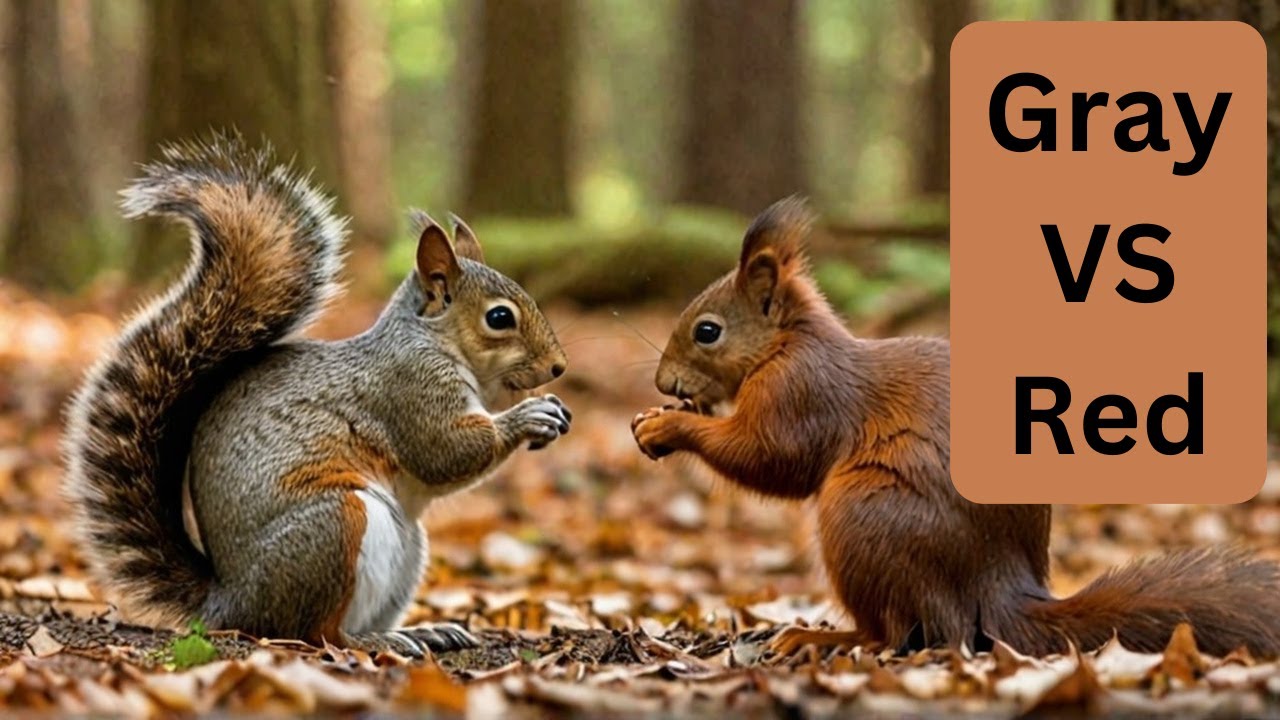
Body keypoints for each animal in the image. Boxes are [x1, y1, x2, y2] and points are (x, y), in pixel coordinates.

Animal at [63, 136, 572, 657]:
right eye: (499, 318)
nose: (559, 367)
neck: (433, 341)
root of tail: (229, 603)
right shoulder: (408, 388)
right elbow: (444, 452)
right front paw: (527, 416)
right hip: (335, 524)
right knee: (319, 633)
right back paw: (381, 641)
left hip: (408, 547)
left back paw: (421, 631)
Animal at [632, 196, 1280, 658]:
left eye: (708, 331)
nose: (663, 381)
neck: (787, 342)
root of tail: (999, 587)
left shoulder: (802, 393)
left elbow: (770, 457)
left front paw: (666, 428)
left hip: (864, 514)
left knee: (896, 633)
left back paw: (822, 638)